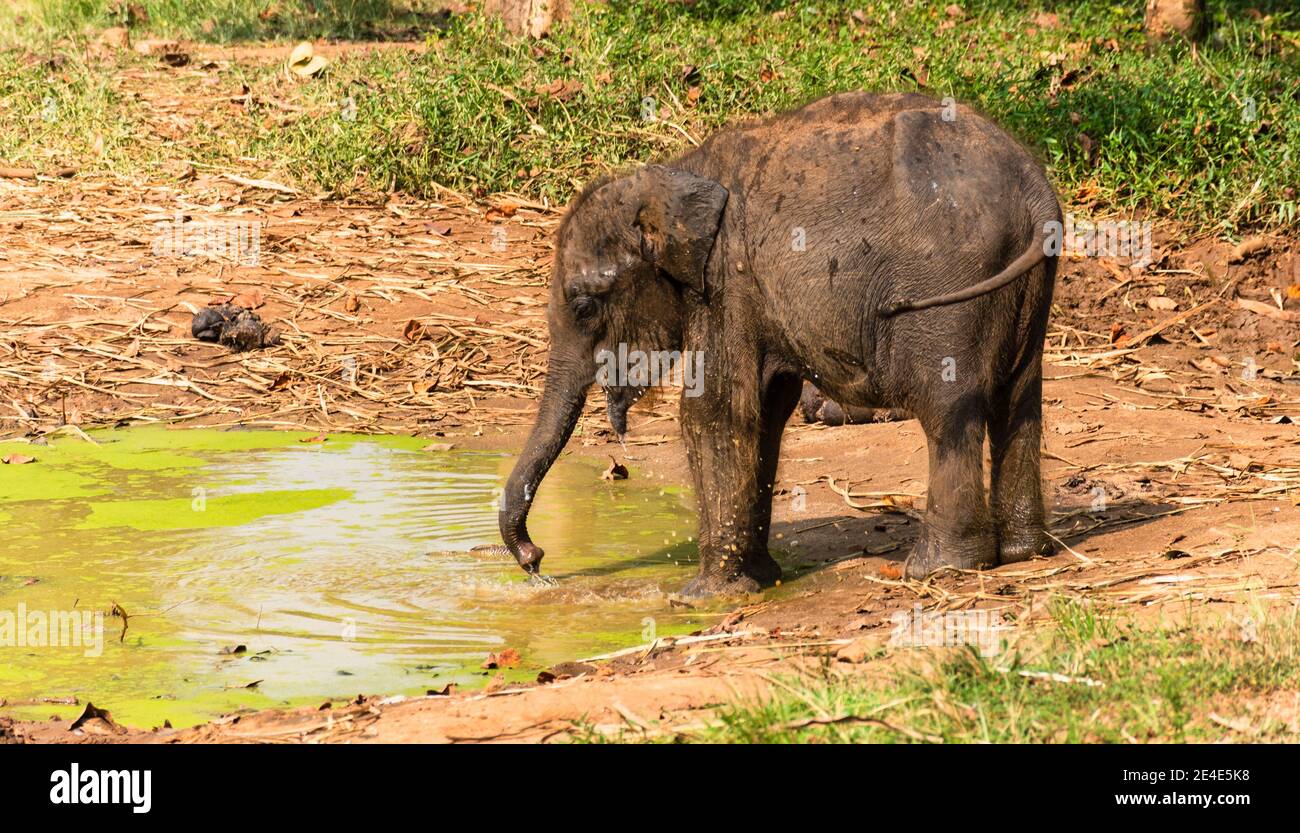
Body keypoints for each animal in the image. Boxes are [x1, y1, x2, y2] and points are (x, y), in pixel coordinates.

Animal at [499, 91, 1061, 595]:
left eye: (584, 305)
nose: (535, 560)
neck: (676, 177)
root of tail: (1035, 191)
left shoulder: (727, 281)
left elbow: (714, 412)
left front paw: (703, 595)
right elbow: (765, 409)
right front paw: (761, 577)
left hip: (950, 290)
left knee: (947, 410)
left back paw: (938, 569)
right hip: (1025, 286)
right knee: (1018, 397)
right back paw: (1022, 552)